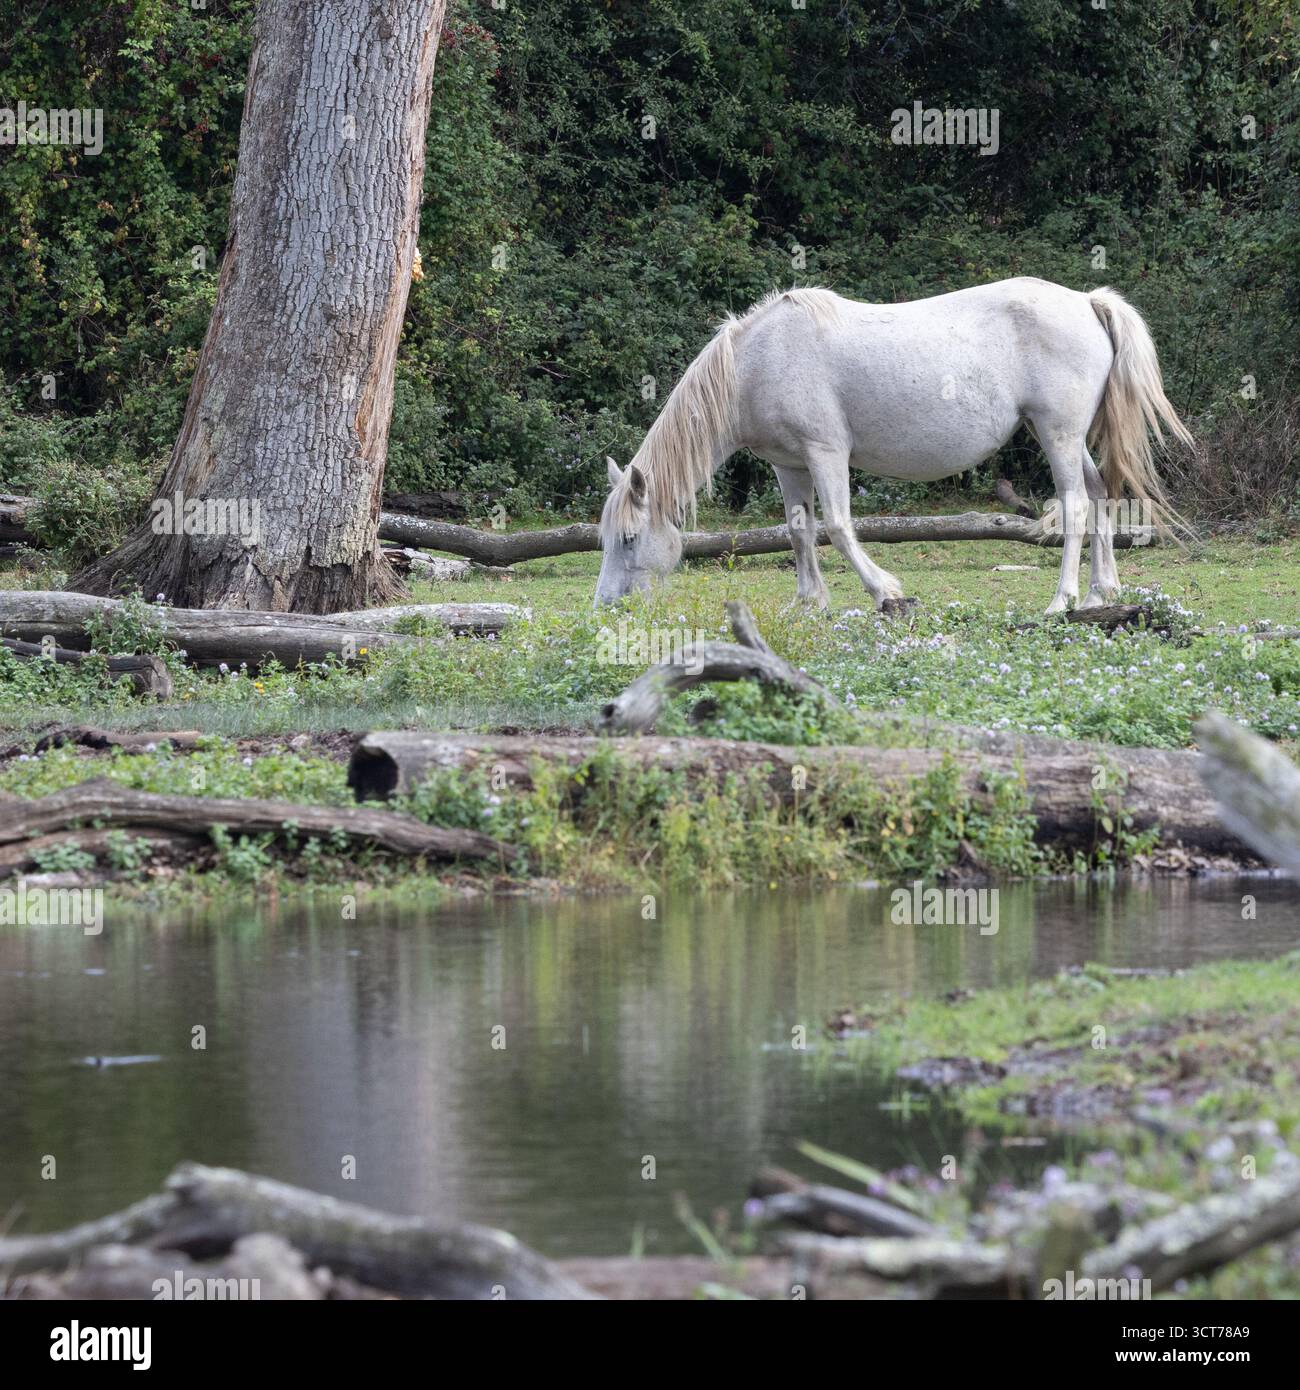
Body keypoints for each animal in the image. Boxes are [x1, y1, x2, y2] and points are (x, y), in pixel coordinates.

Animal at [595, 277, 1192, 613]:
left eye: (628, 538)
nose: (606, 608)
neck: (757, 361)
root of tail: (1089, 302)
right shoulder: (790, 464)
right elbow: (799, 530)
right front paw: (808, 604)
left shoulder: (825, 453)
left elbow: (838, 525)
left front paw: (886, 592)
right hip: (1069, 438)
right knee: (1101, 495)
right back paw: (1098, 595)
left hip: (1058, 434)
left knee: (1074, 505)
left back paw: (1061, 600)